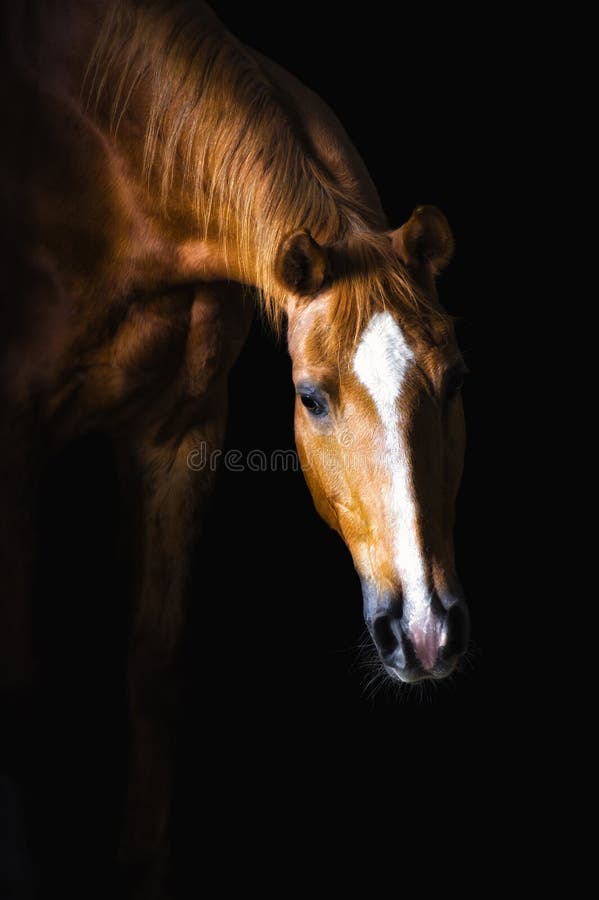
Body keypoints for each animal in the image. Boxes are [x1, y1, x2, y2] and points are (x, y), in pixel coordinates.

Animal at [0, 0, 469, 892]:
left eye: (456, 379)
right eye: (310, 398)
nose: (426, 633)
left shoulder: (180, 441)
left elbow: (153, 668)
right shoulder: (15, 454)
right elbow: (22, 679)